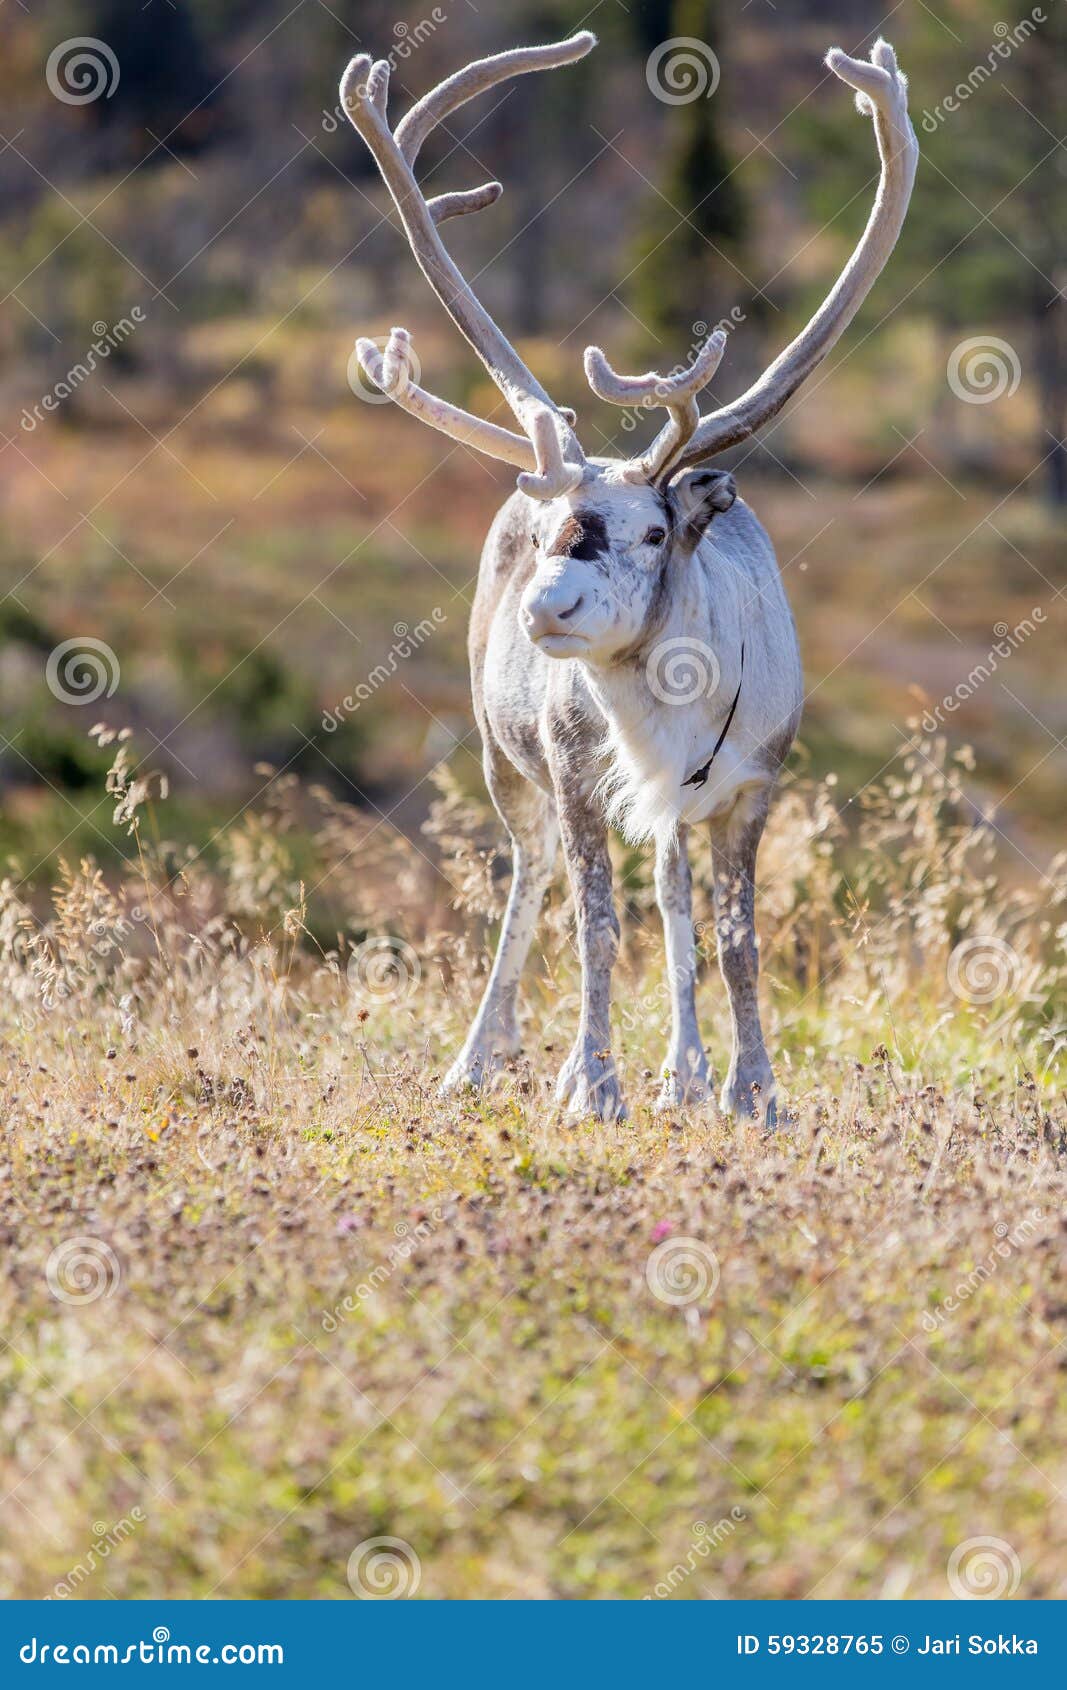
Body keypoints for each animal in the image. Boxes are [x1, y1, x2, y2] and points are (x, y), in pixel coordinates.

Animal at [340, 31, 918, 1124]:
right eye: (552, 531)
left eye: (653, 531)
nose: (546, 604)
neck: (671, 708)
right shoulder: (573, 775)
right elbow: (594, 926)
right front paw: (590, 1082)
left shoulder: (753, 784)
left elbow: (732, 941)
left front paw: (750, 1088)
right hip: (504, 759)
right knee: (528, 883)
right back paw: (480, 1060)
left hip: (669, 808)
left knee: (673, 889)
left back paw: (683, 1069)